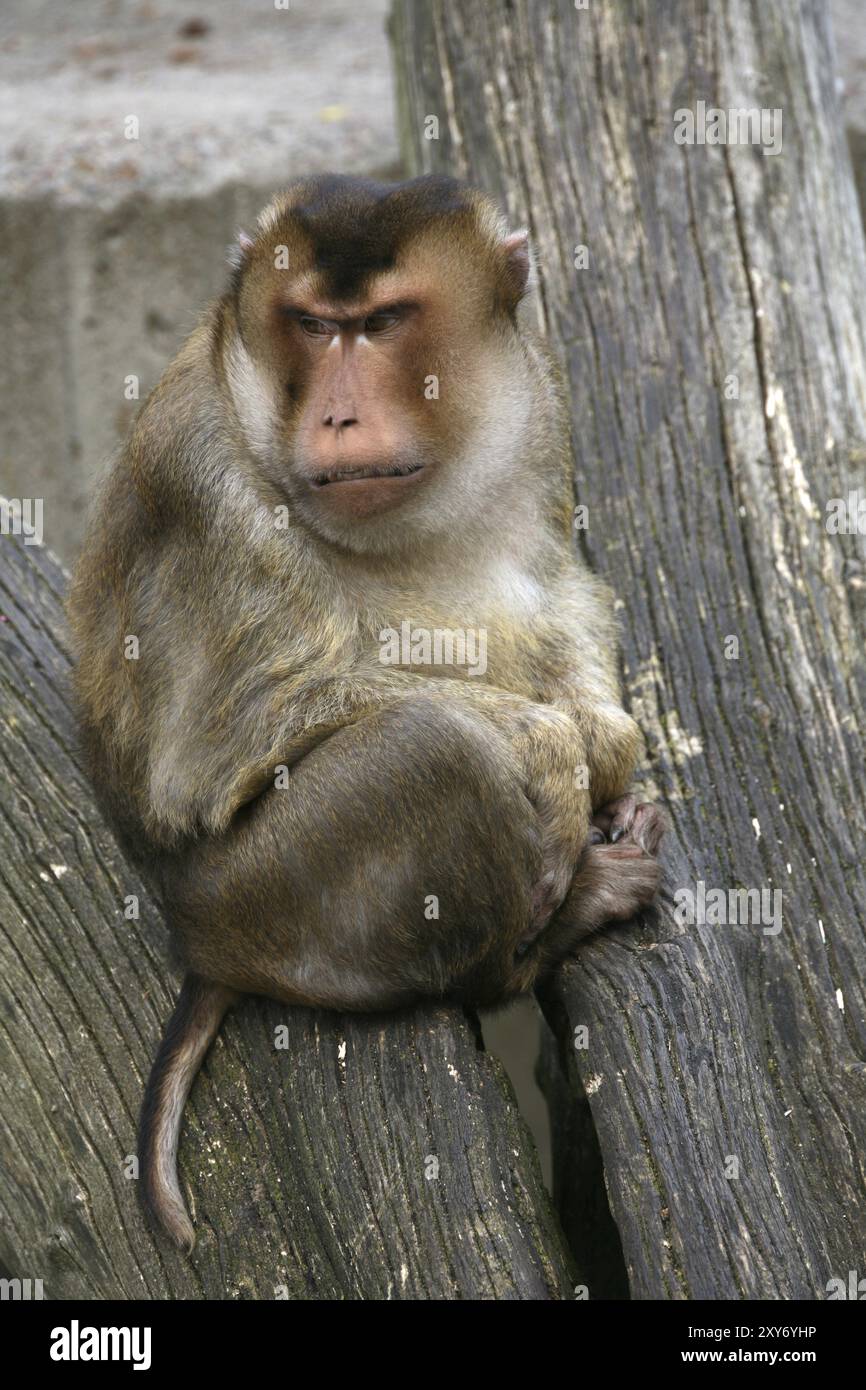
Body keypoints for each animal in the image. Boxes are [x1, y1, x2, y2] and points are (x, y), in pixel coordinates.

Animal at [67, 173, 666, 1253]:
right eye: (312, 323)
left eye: (382, 323)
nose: (339, 418)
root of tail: (201, 943)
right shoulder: (203, 474)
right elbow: (232, 743)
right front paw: (556, 756)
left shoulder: (539, 397)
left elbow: (559, 589)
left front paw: (607, 754)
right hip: (265, 900)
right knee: (435, 752)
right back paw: (547, 930)